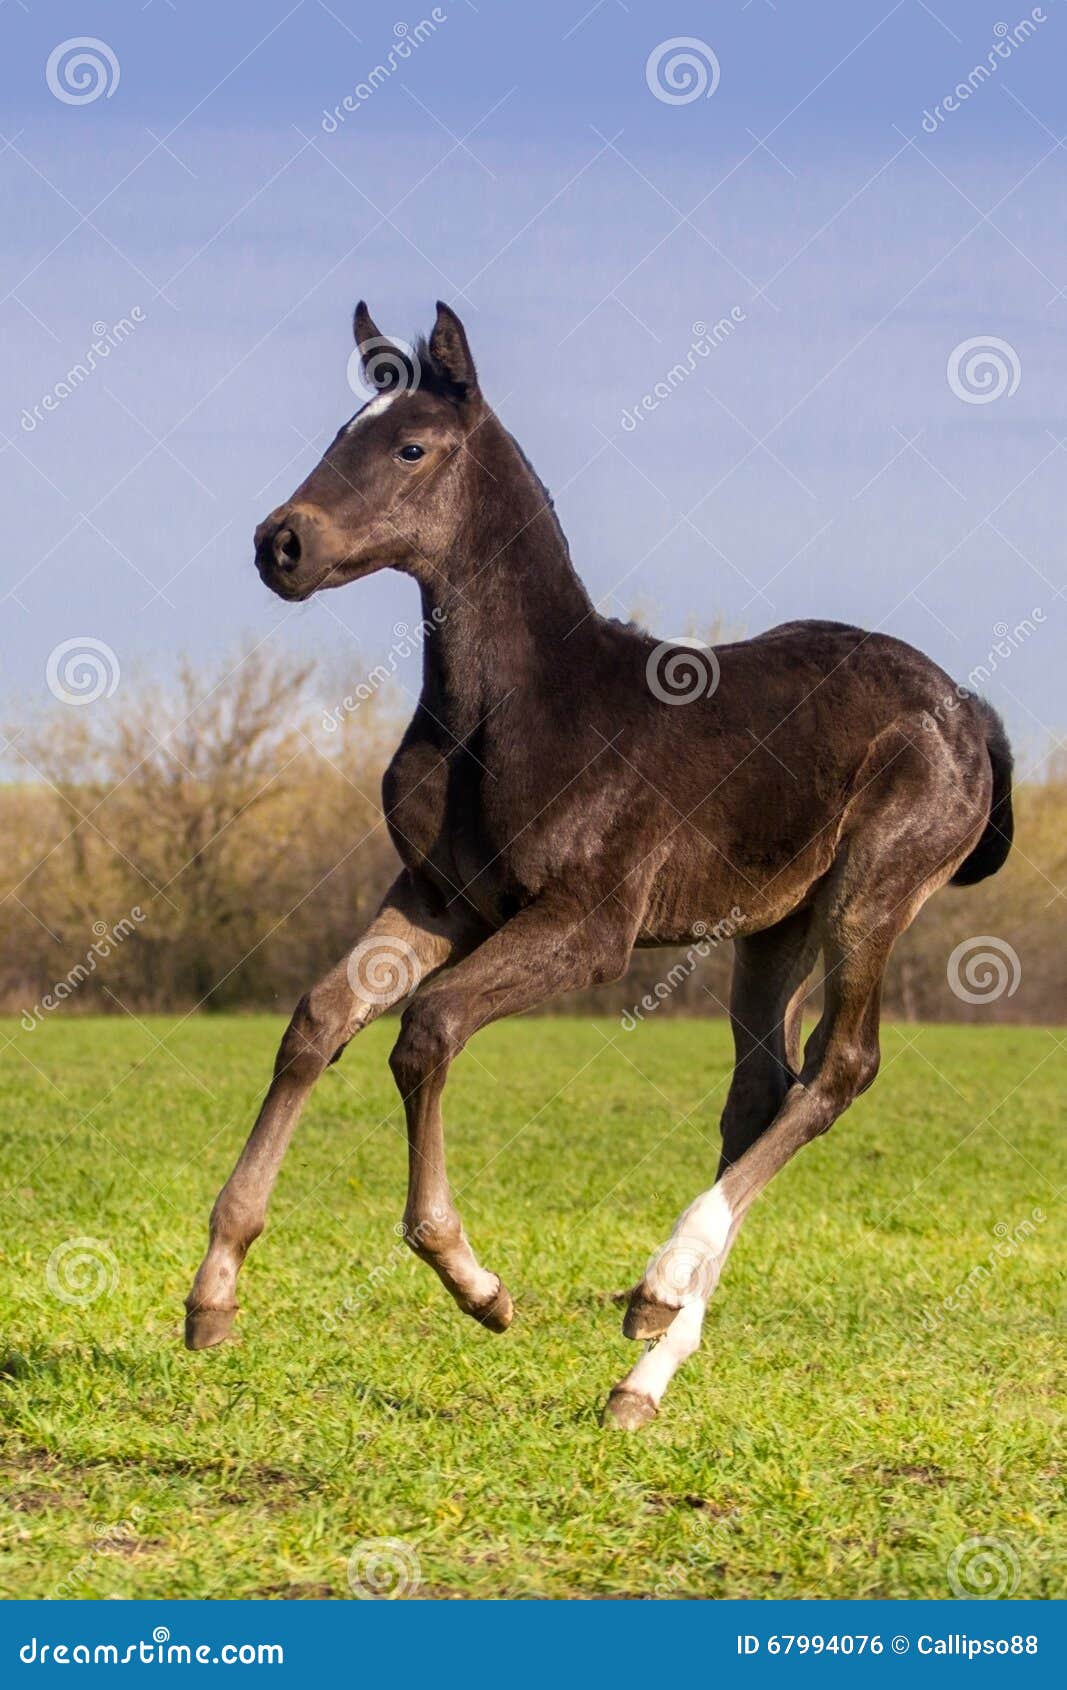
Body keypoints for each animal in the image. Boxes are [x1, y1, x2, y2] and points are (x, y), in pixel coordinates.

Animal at [185, 301, 1013, 1429]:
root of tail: (968, 710)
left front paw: (474, 1282)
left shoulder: (588, 928)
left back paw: (660, 1284)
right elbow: (319, 1020)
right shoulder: (438, 898)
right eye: (339, 431)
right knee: (761, 1086)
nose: (282, 542)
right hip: (774, 926)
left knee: (840, 1067)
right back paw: (648, 1366)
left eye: (410, 447)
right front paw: (213, 1292)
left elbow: (427, 1029)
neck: (512, 707)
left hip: (871, 891)